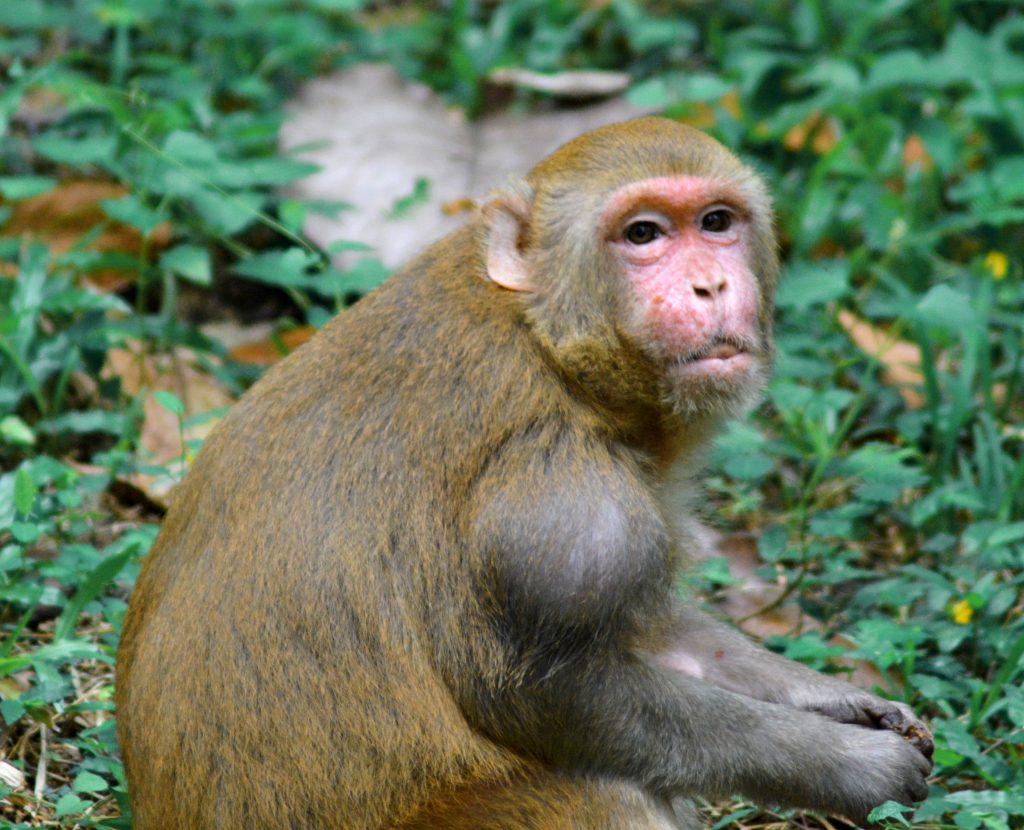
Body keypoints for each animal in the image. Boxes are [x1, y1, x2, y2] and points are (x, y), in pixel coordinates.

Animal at [116, 117, 933, 830]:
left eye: (716, 222)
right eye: (644, 234)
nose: (711, 286)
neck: (550, 341)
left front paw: (843, 703)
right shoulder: (559, 506)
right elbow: (551, 696)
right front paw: (852, 766)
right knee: (607, 793)